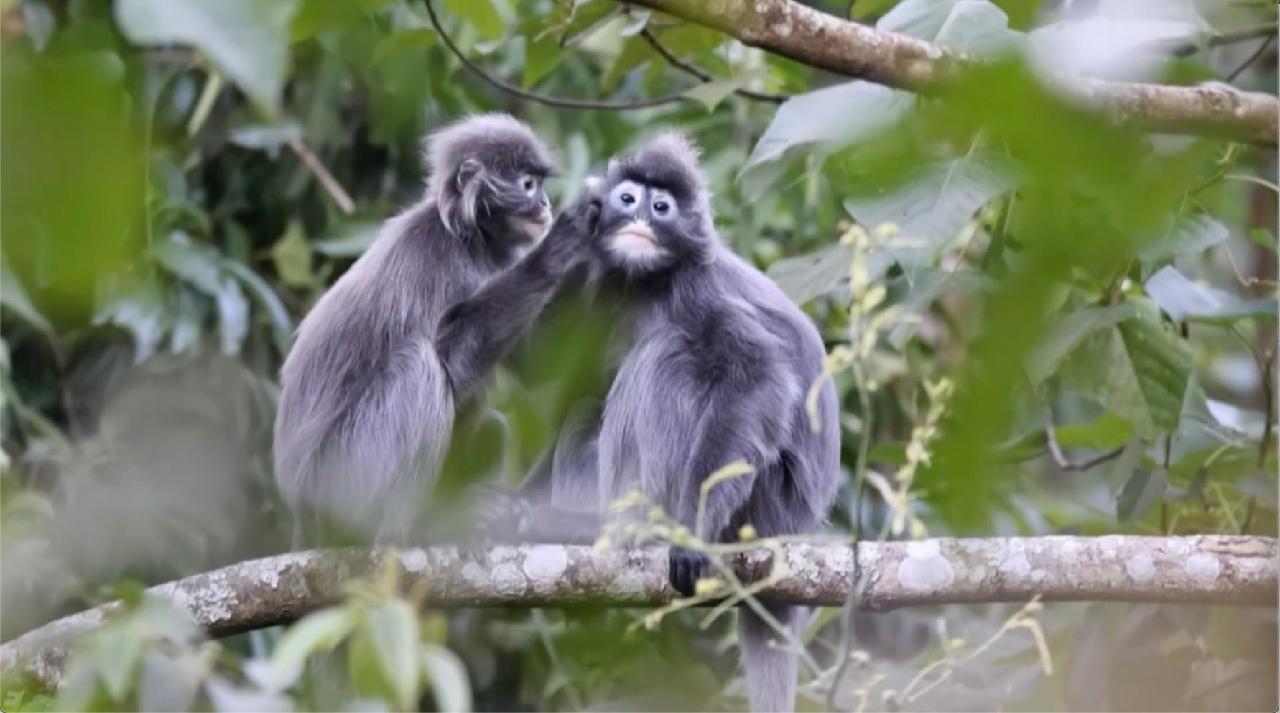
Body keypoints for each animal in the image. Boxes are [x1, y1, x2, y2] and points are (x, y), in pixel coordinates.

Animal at [272, 113, 599, 545]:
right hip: (341, 478)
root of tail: (300, 515)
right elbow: (452, 368)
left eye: (541, 184)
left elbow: (542, 364)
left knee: (492, 428)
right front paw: (560, 247)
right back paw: (410, 531)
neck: (470, 242)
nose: (545, 203)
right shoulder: (431, 258)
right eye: (529, 185)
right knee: (419, 367)